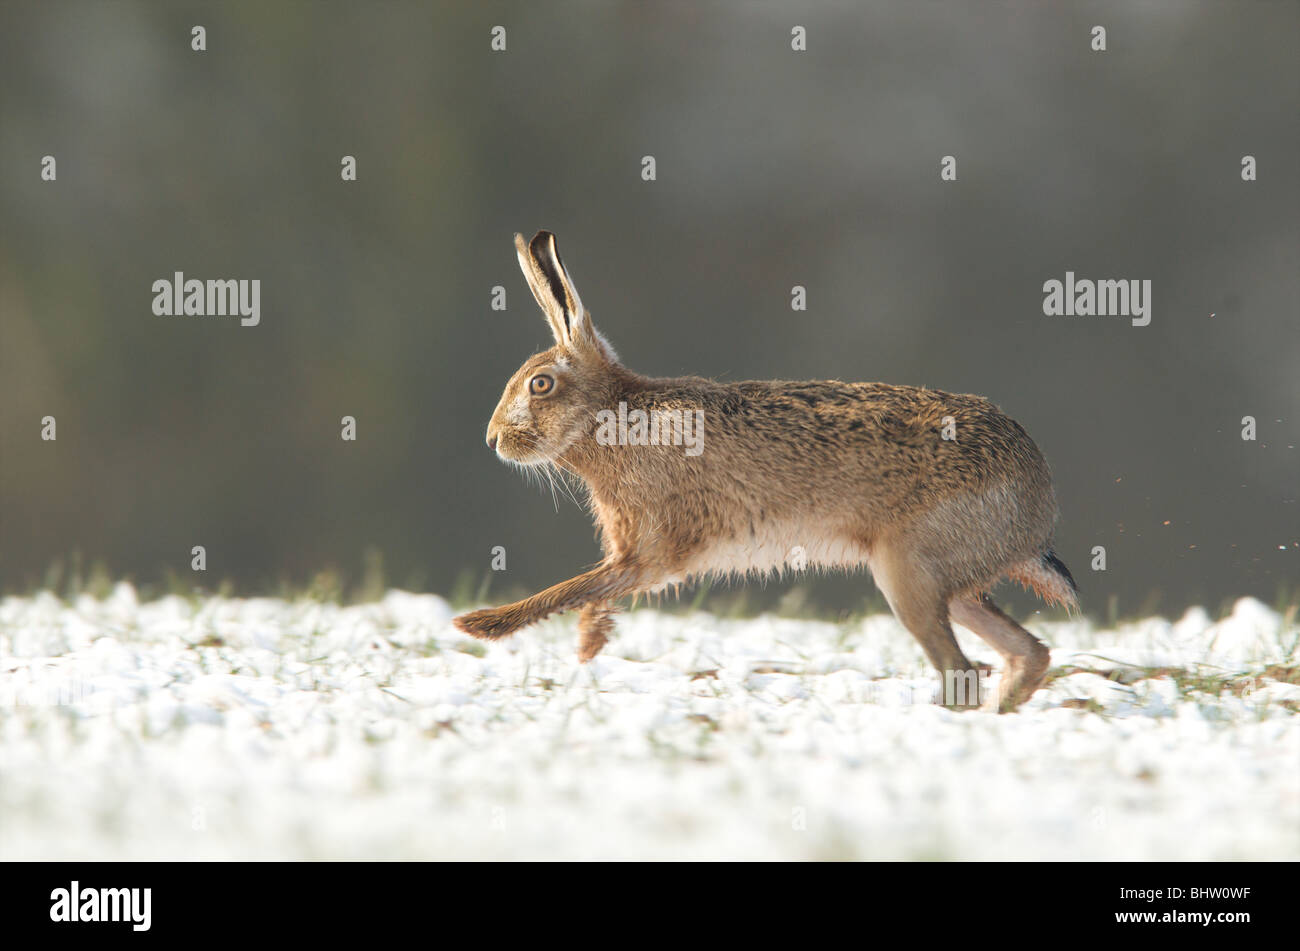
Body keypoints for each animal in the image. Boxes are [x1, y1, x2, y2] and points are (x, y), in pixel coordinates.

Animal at [454, 231, 1078, 712]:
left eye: (541, 385)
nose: (493, 440)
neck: (613, 418)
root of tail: (1038, 510)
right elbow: (589, 591)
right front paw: (588, 643)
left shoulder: (650, 551)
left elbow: (572, 588)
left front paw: (483, 625)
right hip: (949, 582)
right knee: (1028, 652)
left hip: (909, 570)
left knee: (962, 669)